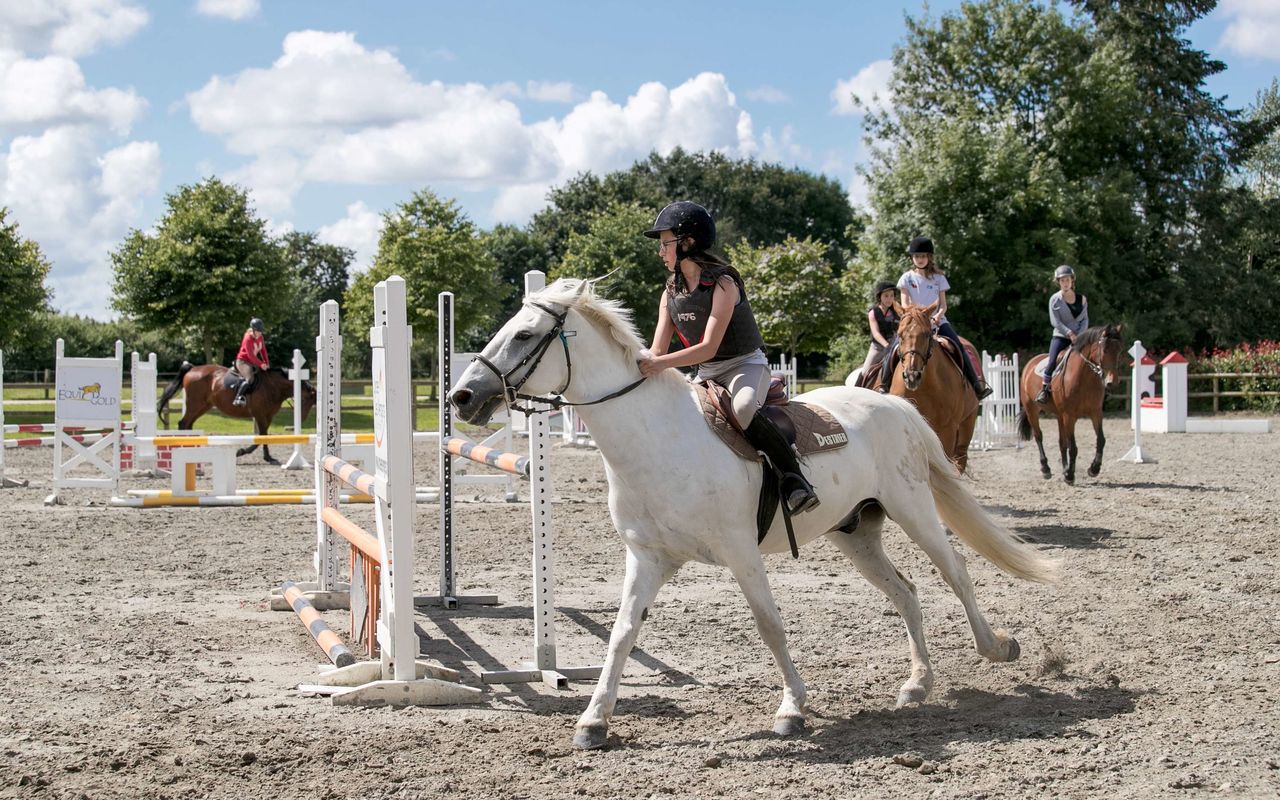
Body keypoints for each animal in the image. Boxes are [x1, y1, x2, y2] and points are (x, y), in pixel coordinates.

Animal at [155, 360, 314, 460]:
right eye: (305, 401)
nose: (302, 418)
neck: (272, 386)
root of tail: (193, 368)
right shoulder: (260, 415)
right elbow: (261, 436)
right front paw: (242, 452)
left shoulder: (268, 416)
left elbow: (264, 436)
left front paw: (267, 457)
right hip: (195, 405)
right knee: (183, 423)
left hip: (203, 406)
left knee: (188, 424)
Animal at [880, 302, 977, 471]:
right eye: (900, 334)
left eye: (926, 334)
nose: (912, 376)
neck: (925, 387)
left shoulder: (948, 429)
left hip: (967, 424)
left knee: (959, 460)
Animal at [1013, 322, 1126, 481]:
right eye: (1104, 349)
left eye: (1120, 350)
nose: (1112, 382)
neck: (1084, 378)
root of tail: (1030, 364)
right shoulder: (1069, 416)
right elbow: (1073, 447)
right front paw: (1071, 476)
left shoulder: (1095, 413)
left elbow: (1101, 440)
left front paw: (1094, 468)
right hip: (1032, 410)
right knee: (1039, 436)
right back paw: (1046, 469)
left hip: (1059, 416)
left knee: (1062, 442)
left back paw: (1064, 469)